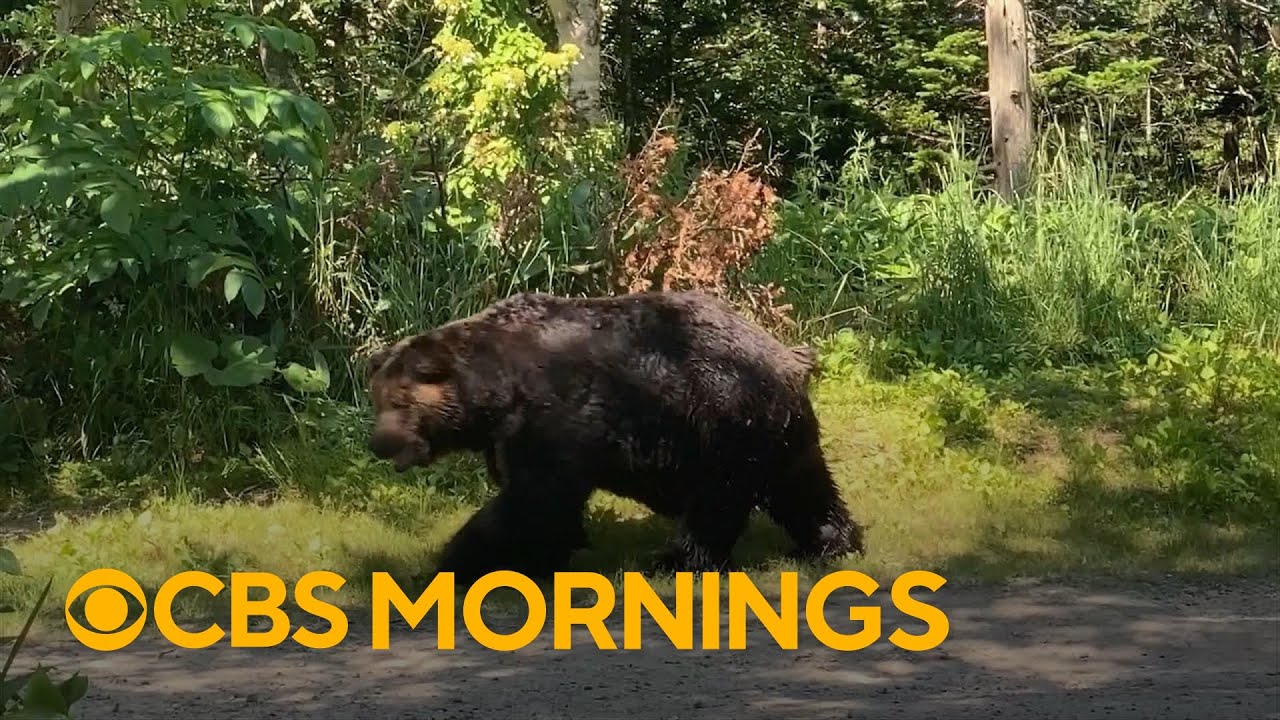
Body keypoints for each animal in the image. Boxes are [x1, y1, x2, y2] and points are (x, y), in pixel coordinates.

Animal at [364, 290, 864, 583]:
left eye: (400, 403)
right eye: (377, 399)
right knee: (803, 488)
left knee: (716, 502)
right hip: (776, 432)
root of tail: (787, 355)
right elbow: (537, 501)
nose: (379, 442)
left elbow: (531, 501)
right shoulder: (512, 436)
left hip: (719, 418)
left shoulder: (554, 416)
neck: (496, 390)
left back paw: (677, 560)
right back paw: (830, 542)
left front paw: (459, 560)